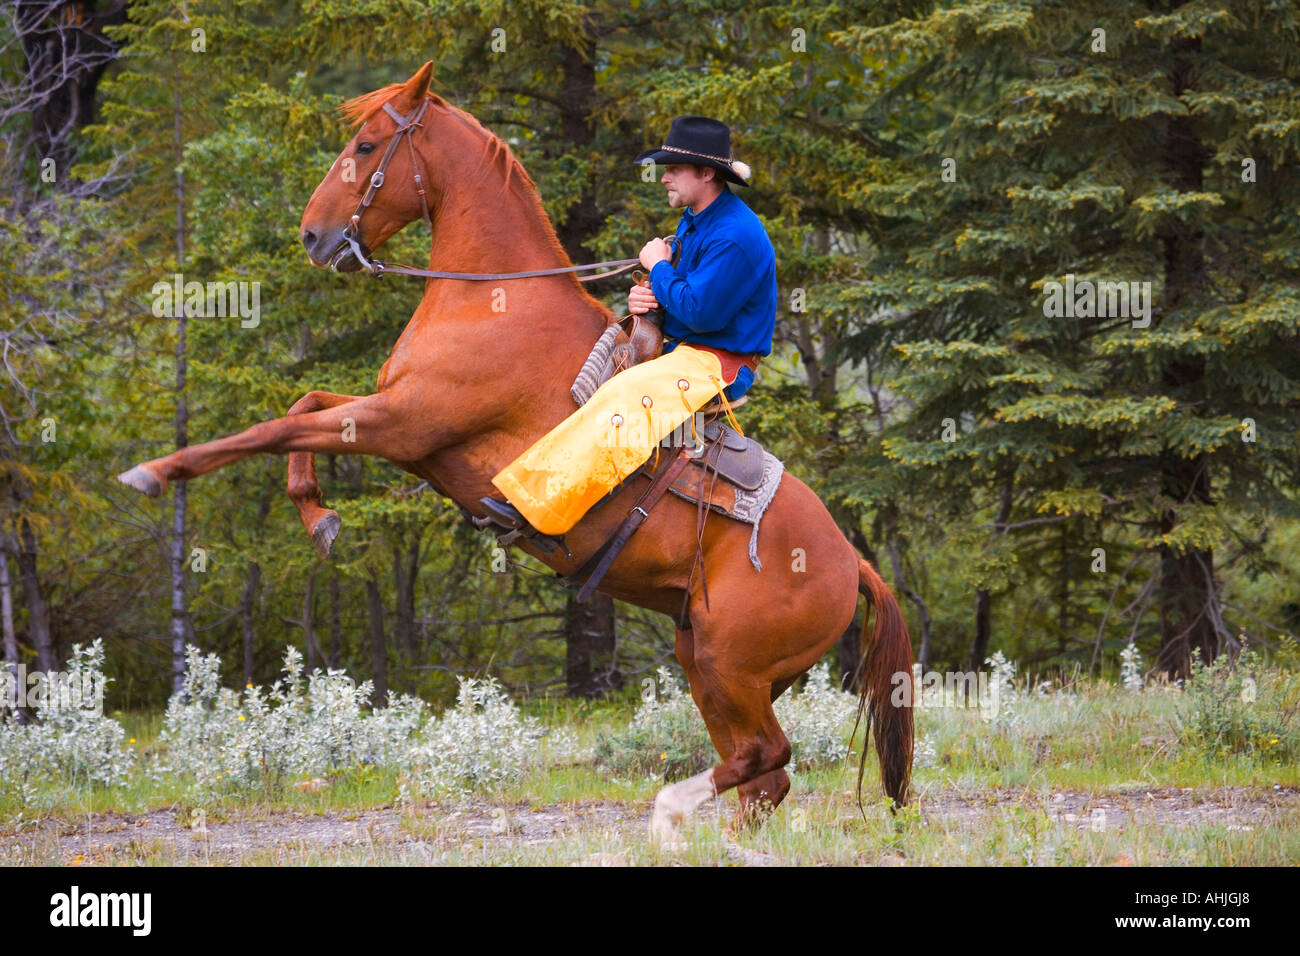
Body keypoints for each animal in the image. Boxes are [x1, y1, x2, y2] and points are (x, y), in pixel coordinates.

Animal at [117, 61, 914, 842]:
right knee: (765, 773)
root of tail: (853, 564)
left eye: (367, 146)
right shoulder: (390, 414)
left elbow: (269, 428)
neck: (491, 299)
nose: (313, 236)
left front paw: (157, 472)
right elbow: (302, 406)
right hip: (708, 662)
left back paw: (668, 809)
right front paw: (319, 516)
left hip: (729, 665)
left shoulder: (404, 423)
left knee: (763, 755)